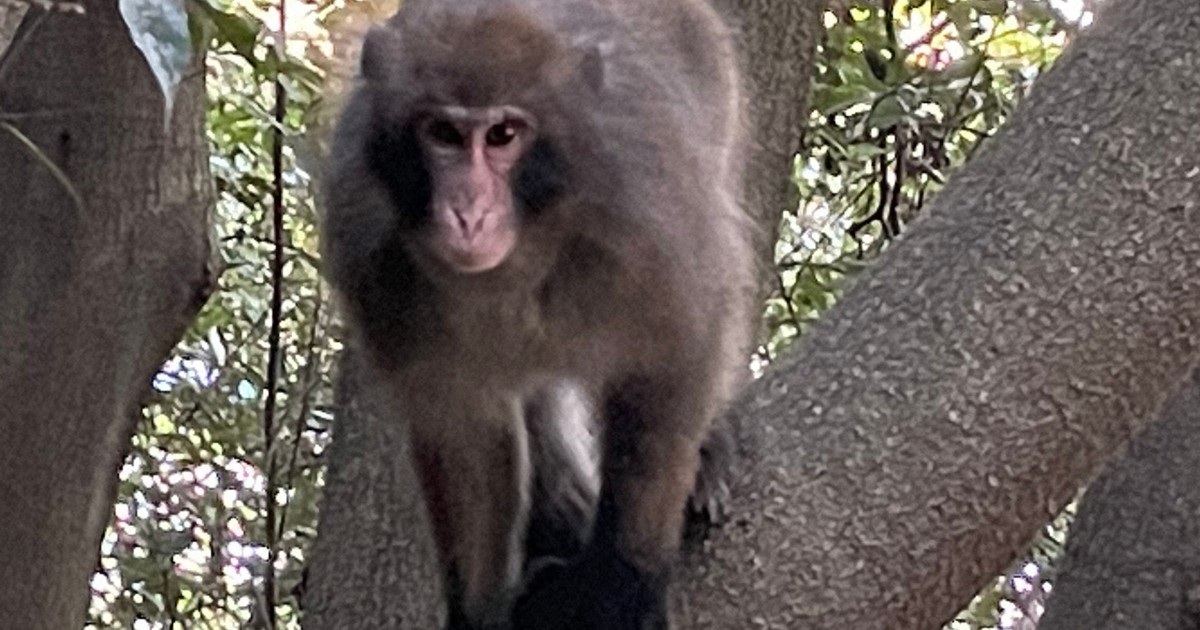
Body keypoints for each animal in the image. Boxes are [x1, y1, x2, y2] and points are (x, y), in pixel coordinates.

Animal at [321, 0, 755, 627]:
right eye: (443, 134)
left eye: (503, 135)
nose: (468, 213)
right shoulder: (374, 257)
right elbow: (462, 426)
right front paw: (476, 613)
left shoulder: (652, 225)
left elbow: (674, 360)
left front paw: (626, 581)